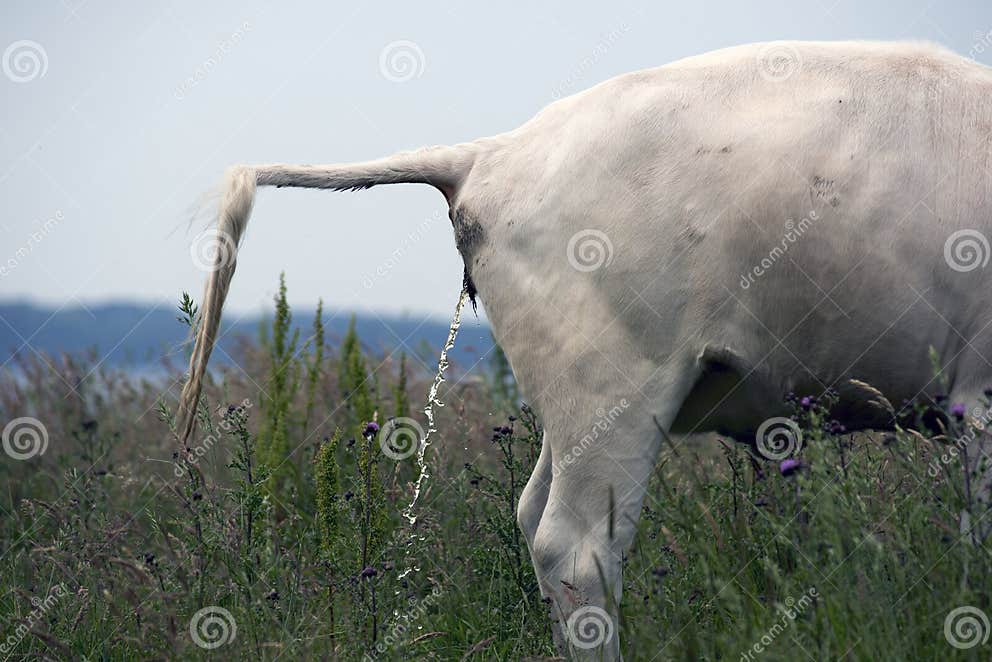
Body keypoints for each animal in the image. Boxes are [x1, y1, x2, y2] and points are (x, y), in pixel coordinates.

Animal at [178, 41, 992, 658]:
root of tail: (496, 152)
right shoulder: (981, 395)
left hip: (575, 400)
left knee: (534, 516)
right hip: (618, 384)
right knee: (576, 548)